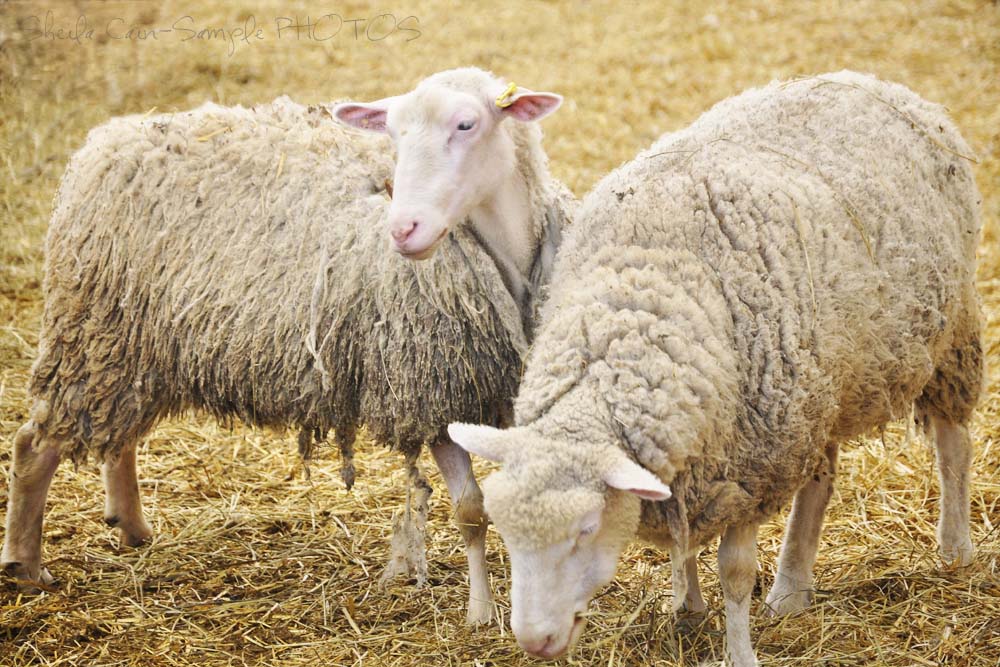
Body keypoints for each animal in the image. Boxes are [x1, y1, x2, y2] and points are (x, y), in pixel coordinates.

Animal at [0, 67, 573, 626]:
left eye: (466, 124)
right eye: (392, 133)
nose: (402, 229)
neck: (505, 260)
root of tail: (104, 140)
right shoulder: (430, 393)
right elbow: (472, 510)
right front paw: (481, 614)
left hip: (132, 350)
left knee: (118, 440)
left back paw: (133, 527)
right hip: (91, 333)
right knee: (33, 445)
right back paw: (25, 565)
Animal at [448, 70, 982, 664]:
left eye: (587, 528)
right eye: (505, 529)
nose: (534, 640)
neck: (635, 302)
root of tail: (873, 80)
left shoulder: (755, 465)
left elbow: (736, 571)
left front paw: (738, 649)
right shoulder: (700, 458)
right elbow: (682, 541)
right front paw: (686, 608)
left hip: (950, 334)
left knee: (954, 447)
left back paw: (954, 547)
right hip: (817, 389)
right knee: (820, 479)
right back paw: (791, 588)